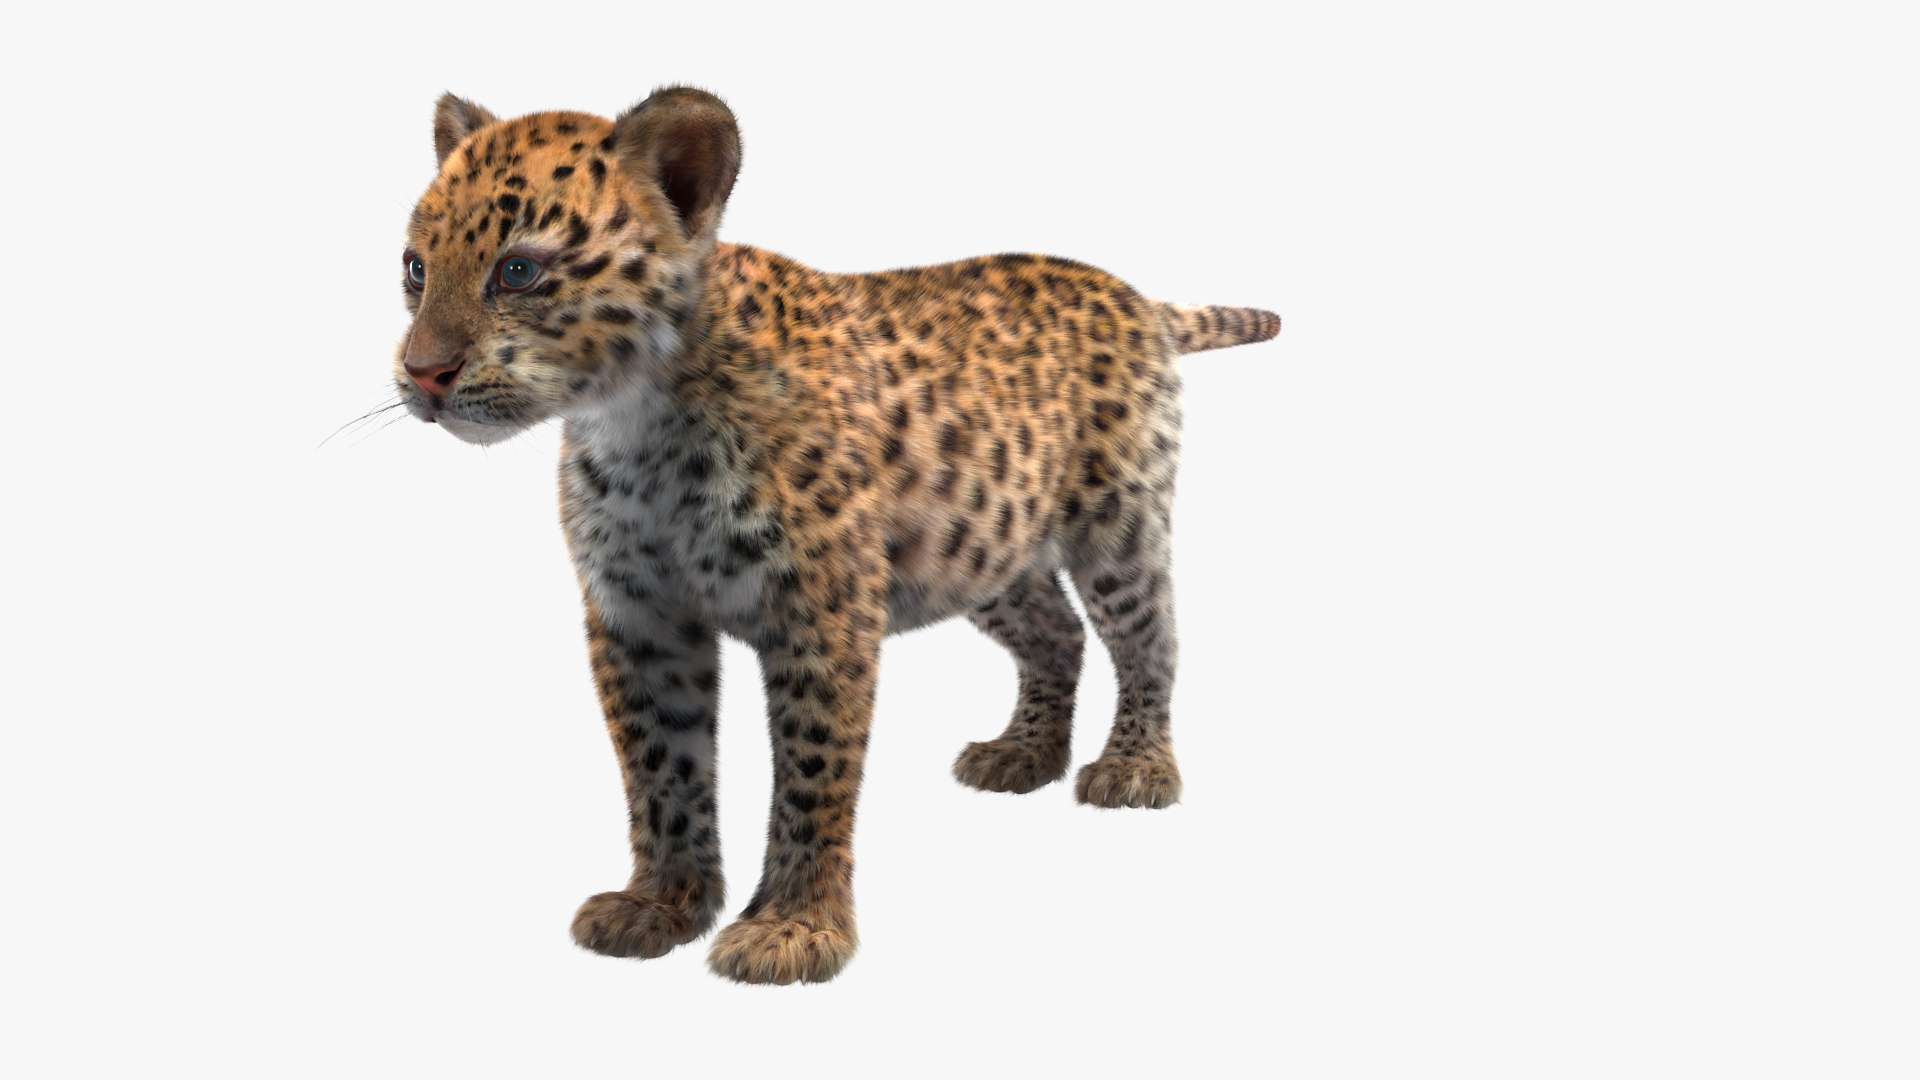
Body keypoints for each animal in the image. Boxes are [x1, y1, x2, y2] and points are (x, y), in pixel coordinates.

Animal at [391, 87, 1280, 984]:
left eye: (518, 270)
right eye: (414, 269)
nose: (422, 374)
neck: (637, 423)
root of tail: (1134, 296)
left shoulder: (823, 612)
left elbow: (812, 771)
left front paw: (793, 927)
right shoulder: (638, 619)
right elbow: (660, 768)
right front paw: (661, 905)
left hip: (1117, 526)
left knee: (1149, 639)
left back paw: (1136, 767)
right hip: (982, 549)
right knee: (1056, 632)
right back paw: (1022, 754)